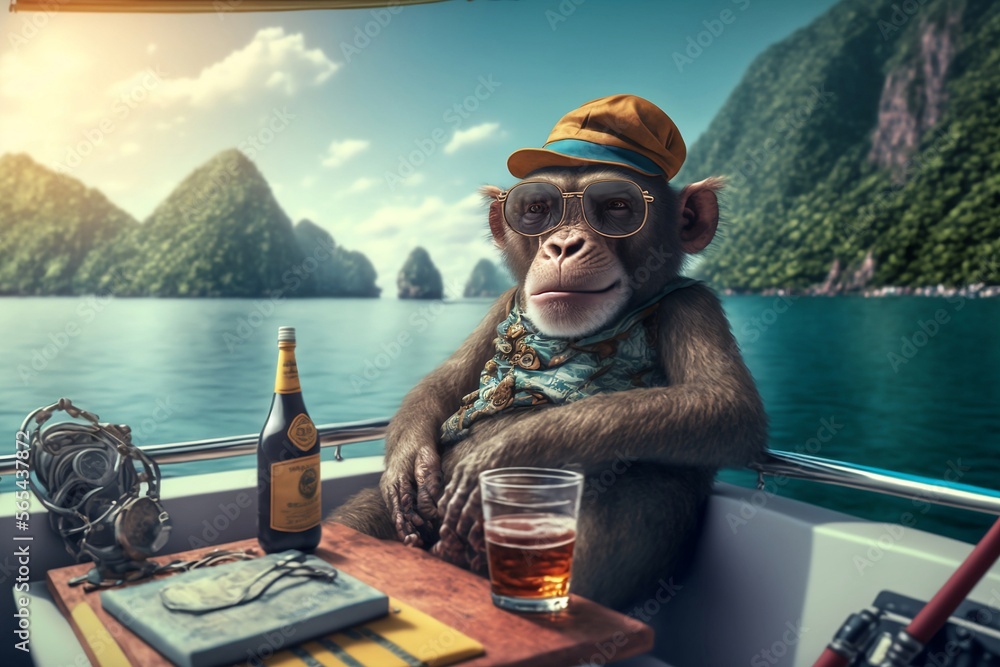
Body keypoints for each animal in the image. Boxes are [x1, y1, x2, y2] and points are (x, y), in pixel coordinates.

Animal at [330, 95, 768, 610]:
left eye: (617, 206)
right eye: (537, 208)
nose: (563, 244)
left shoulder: (693, 305)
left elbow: (723, 404)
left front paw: (501, 455)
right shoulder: (503, 301)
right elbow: (443, 382)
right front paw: (408, 463)